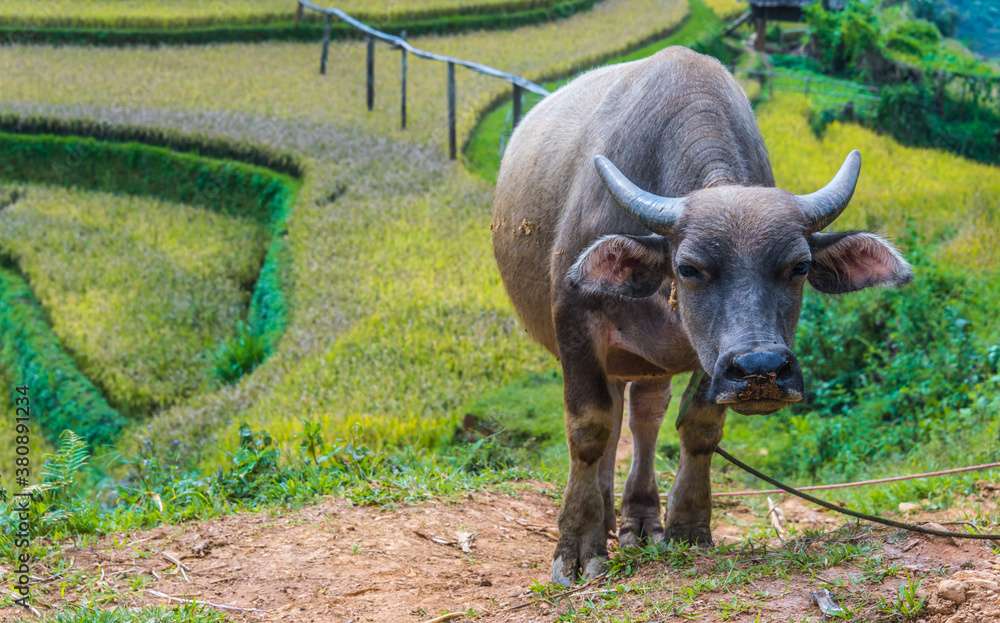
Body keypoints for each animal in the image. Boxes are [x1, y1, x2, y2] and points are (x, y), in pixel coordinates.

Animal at [491, 47, 912, 586]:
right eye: (688, 268)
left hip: (650, 361)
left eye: (798, 267)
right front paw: (578, 547)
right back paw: (606, 519)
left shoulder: (711, 360)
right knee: (613, 417)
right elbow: (589, 428)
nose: (762, 371)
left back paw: (639, 520)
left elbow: (699, 427)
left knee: (643, 417)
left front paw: (688, 527)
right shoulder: (576, 321)